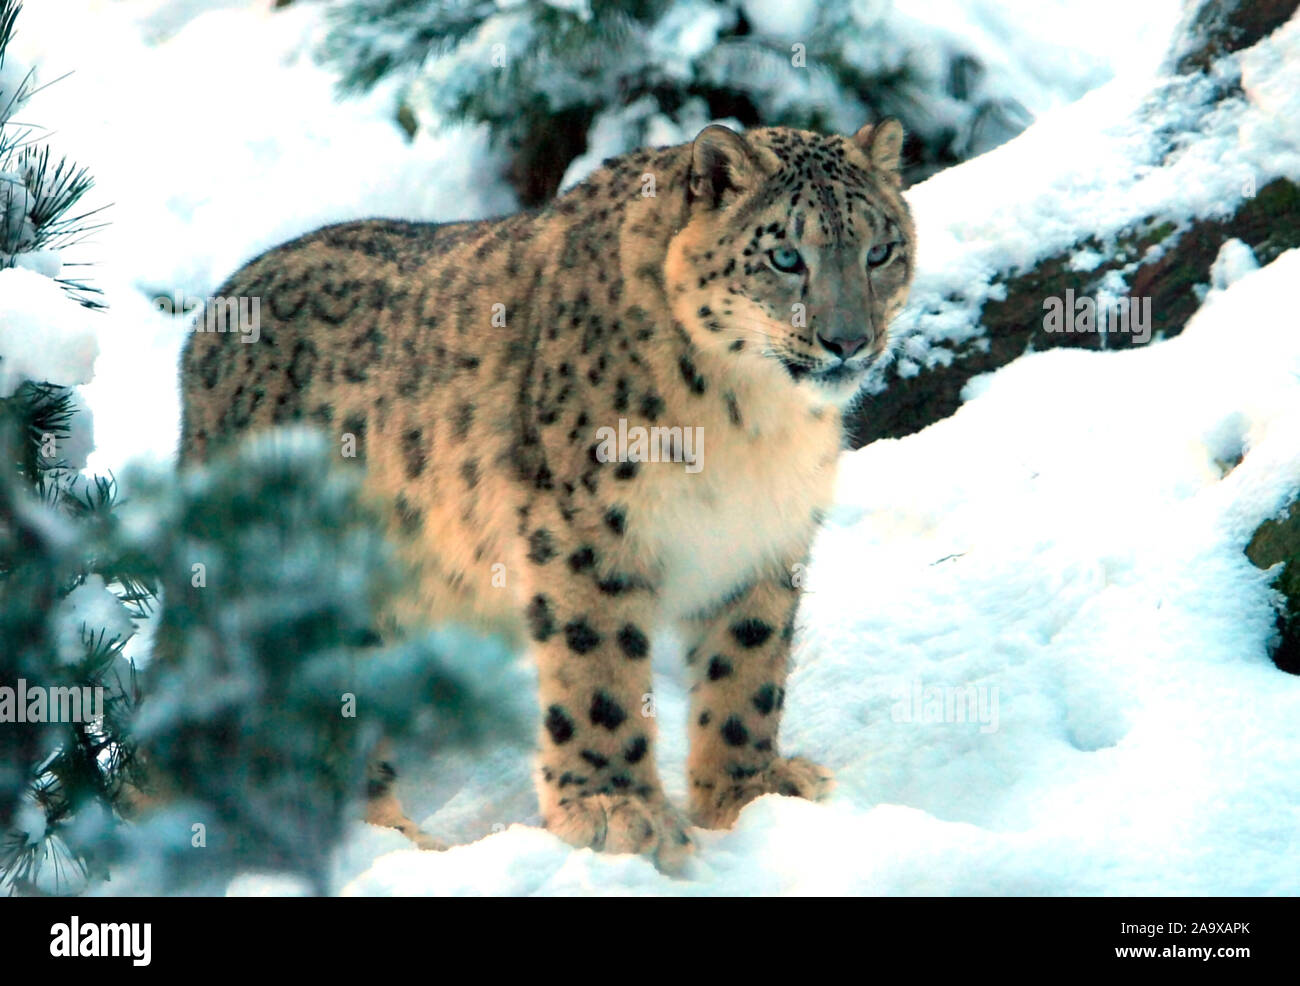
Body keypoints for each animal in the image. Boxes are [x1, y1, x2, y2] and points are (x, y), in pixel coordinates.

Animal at [178, 119, 916, 871]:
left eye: (881, 251)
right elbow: (599, 671)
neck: (755, 423)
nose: (848, 341)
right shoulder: (588, 529)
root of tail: (208, 329)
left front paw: (749, 791)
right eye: (787, 256)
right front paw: (616, 810)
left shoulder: (764, 541)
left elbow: (748, 665)